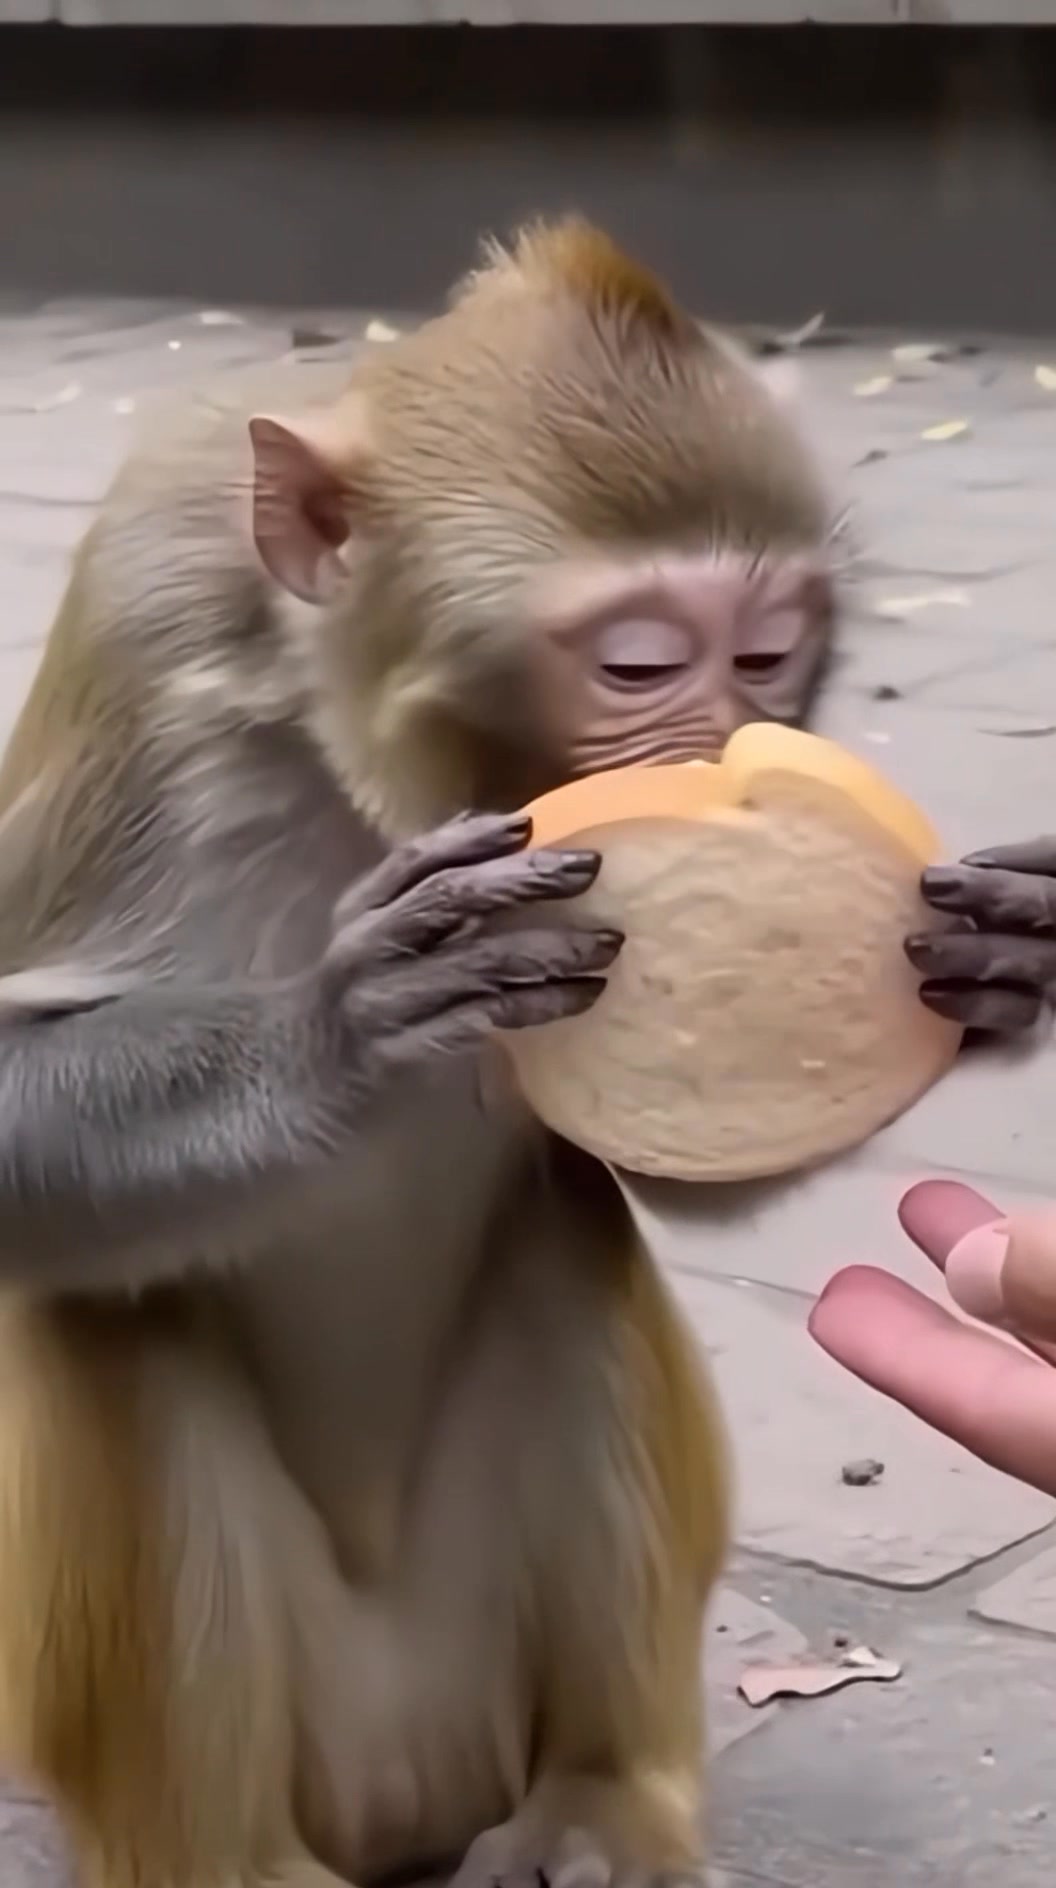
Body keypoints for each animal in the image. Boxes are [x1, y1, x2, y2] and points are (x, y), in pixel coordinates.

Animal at [0, 218, 839, 1888]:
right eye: (638, 665)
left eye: (770, 654)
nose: (733, 772)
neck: (358, 778)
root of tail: (397, 1796)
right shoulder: (144, 611)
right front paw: (334, 1045)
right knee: (118, 1311)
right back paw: (233, 1866)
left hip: (473, 1704)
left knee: (564, 1238)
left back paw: (602, 1800)